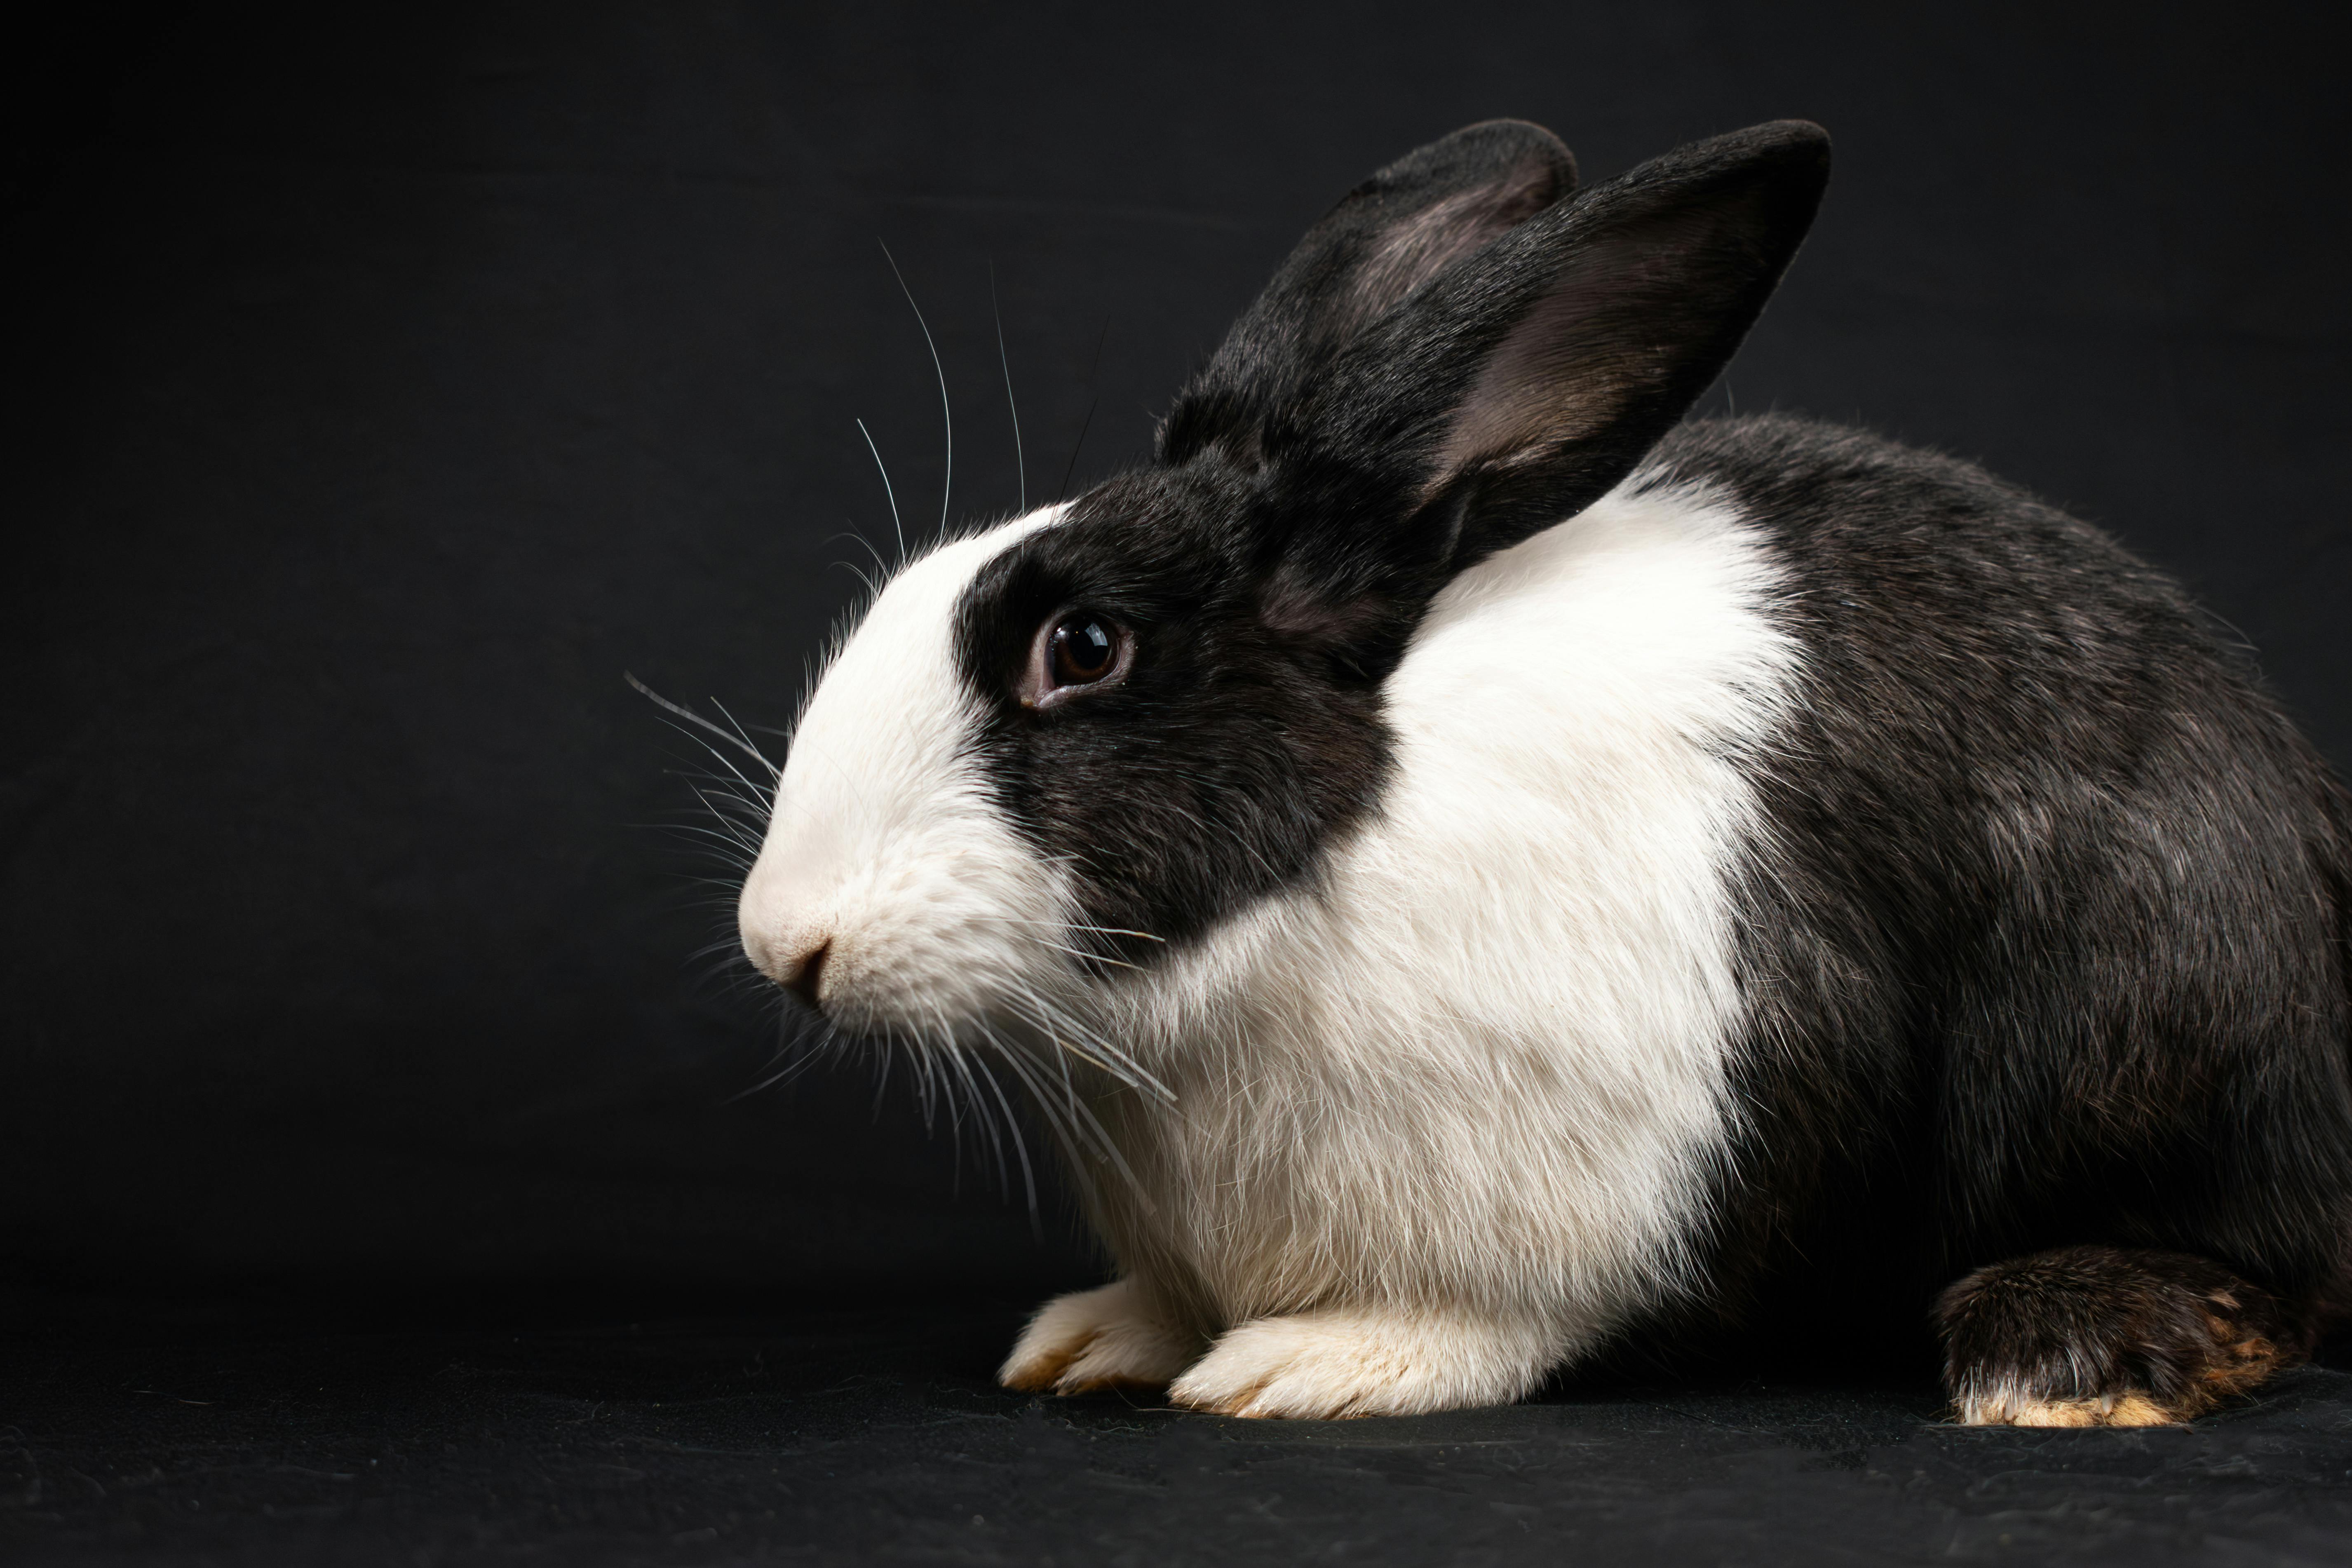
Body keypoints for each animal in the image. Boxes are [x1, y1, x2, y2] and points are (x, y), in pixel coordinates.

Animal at [734, 118, 2352, 1424]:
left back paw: (2055, 1357)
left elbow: (1502, 1317)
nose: (780, 942)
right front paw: (1092, 1338)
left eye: (1081, 646)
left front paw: (1308, 1365)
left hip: (2146, 1007)